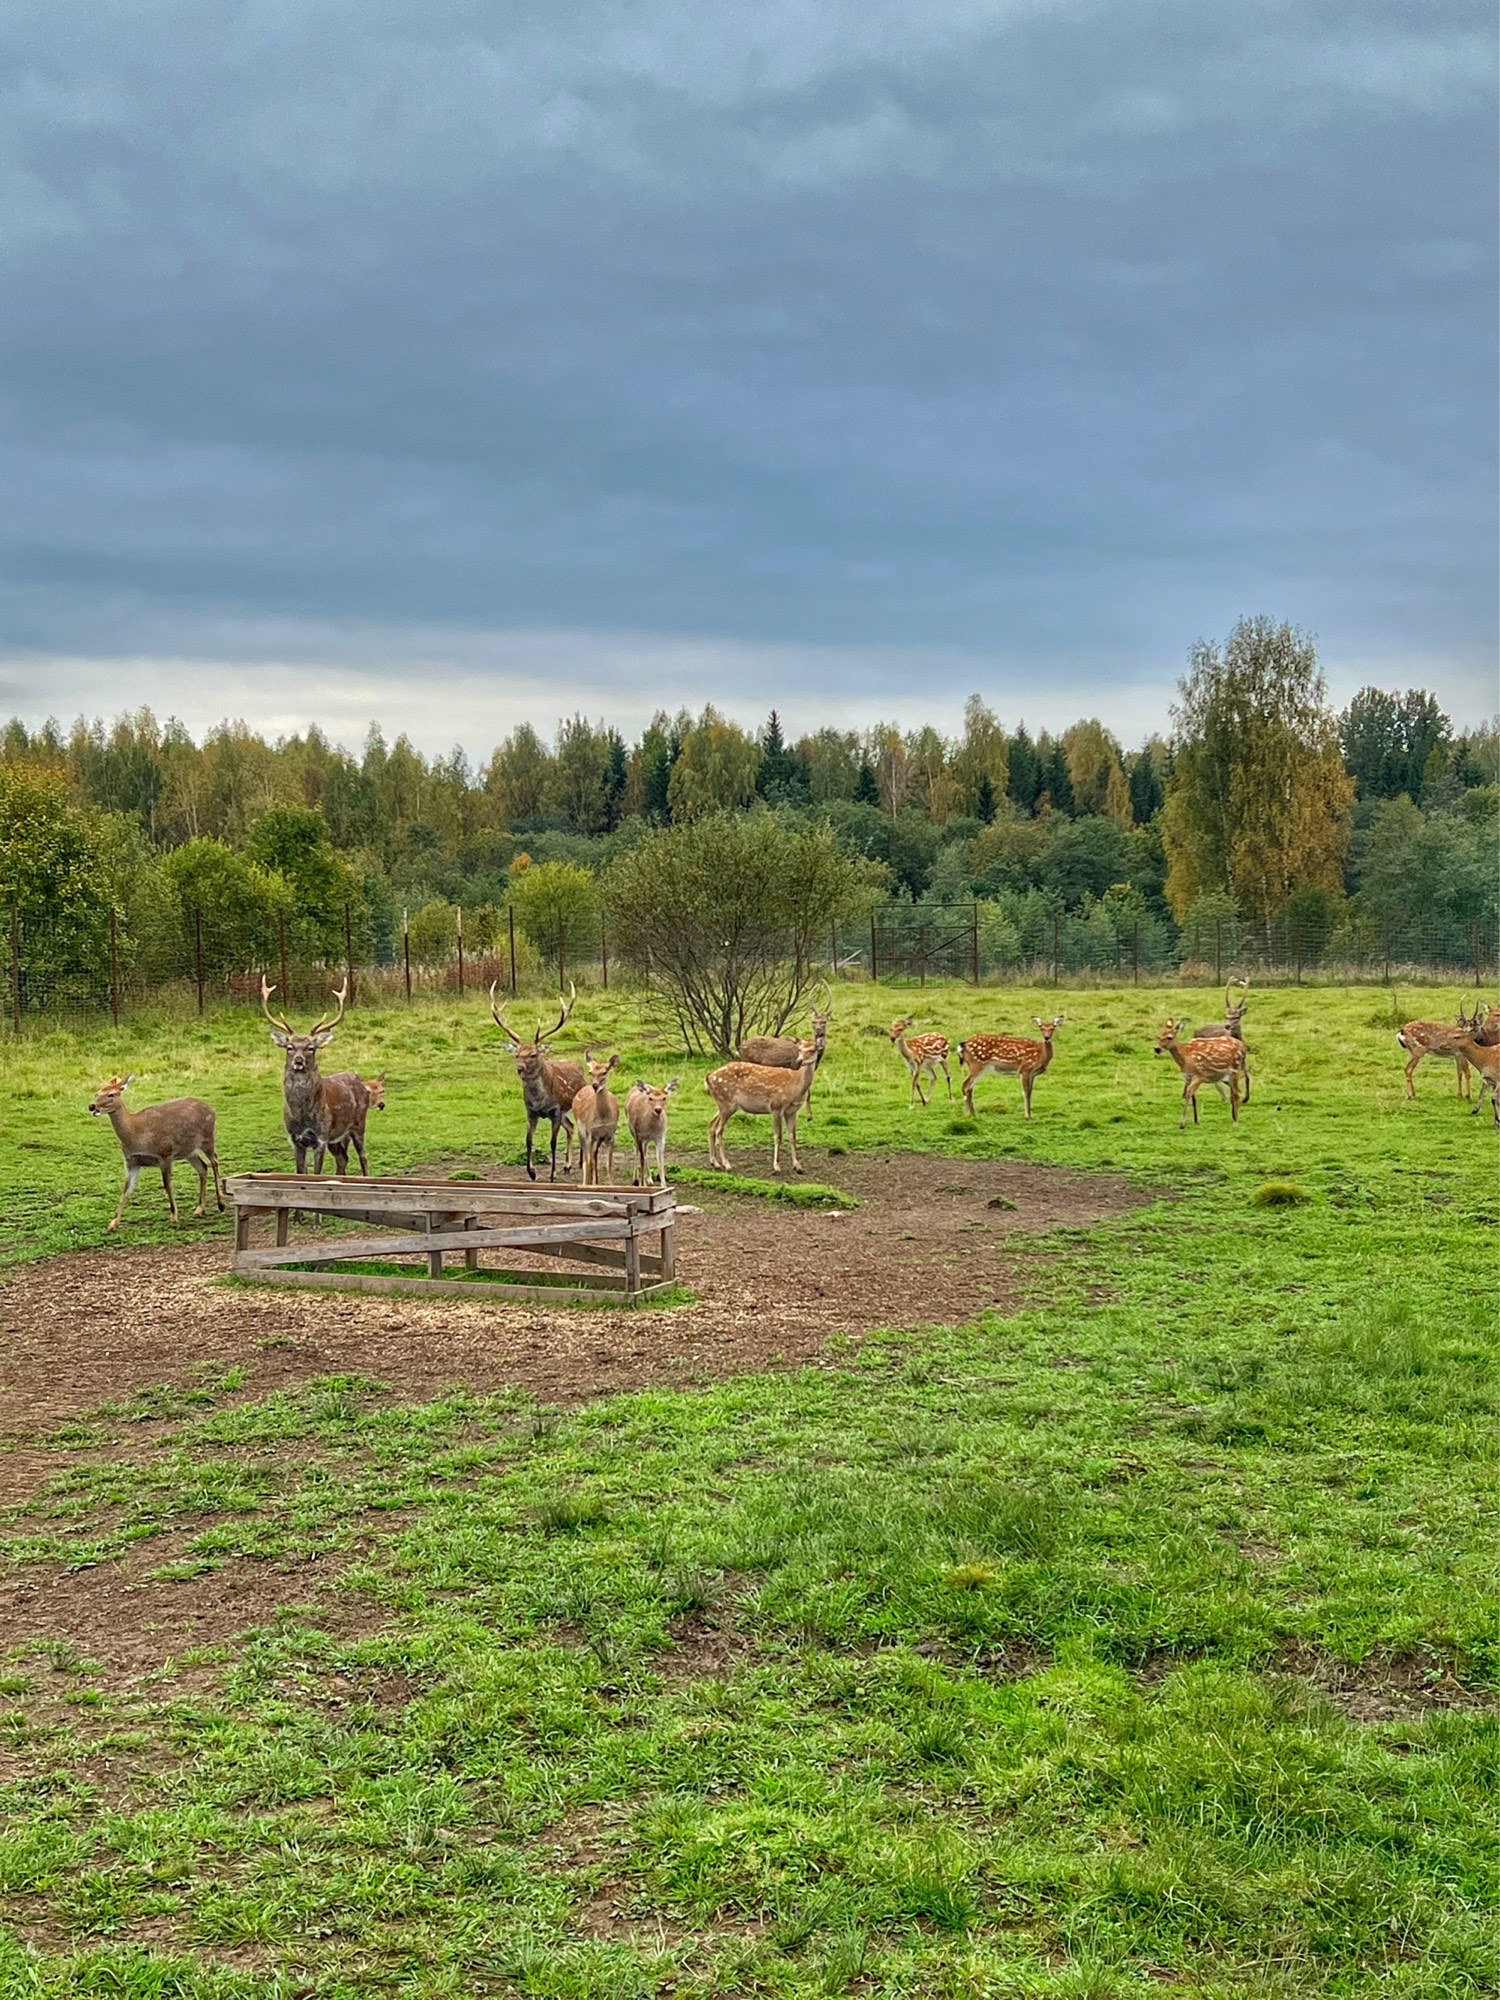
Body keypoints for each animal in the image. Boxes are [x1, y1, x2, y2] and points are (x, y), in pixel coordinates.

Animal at [90, 1080, 226, 1232]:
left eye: (111, 1094)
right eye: (97, 1093)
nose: (92, 1106)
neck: (137, 1133)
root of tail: (212, 1109)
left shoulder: (165, 1155)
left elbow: (167, 1185)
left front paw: (174, 1216)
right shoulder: (132, 1162)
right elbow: (127, 1190)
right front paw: (113, 1223)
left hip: (208, 1138)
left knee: (215, 1161)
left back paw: (221, 1204)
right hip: (189, 1151)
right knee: (203, 1167)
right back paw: (200, 1208)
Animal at [262, 980, 352, 1168]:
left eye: (311, 1048)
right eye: (289, 1047)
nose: (298, 1061)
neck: (302, 1116)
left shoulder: (321, 1137)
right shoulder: (295, 1139)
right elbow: (300, 1171)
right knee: (342, 1158)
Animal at [494, 988, 588, 1184]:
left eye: (533, 1054)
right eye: (517, 1055)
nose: (519, 1068)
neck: (541, 1101)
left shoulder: (556, 1110)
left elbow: (553, 1142)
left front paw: (551, 1175)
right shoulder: (531, 1112)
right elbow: (528, 1140)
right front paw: (532, 1172)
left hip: (575, 1105)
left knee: (579, 1128)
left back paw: (581, 1162)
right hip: (564, 1113)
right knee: (570, 1127)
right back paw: (567, 1166)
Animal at [572, 1048, 624, 1184]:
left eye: (604, 1072)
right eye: (591, 1072)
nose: (595, 1086)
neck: (603, 1118)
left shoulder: (610, 1135)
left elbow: (609, 1165)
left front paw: (611, 1186)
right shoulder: (590, 1133)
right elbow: (589, 1162)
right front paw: (590, 1185)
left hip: (599, 1138)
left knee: (594, 1154)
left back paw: (596, 1182)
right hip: (581, 1131)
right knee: (586, 1160)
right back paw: (586, 1183)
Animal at [708, 1040, 816, 1176]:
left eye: (813, 1049)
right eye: (800, 1049)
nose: (800, 1060)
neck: (796, 1088)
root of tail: (708, 1077)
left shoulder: (792, 1111)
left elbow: (793, 1137)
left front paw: (798, 1166)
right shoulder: (776, 1106)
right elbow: (778, 1136)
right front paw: (776, 1166)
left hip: (723, 1106)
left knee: (712, 1126)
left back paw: (715, 1162)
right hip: (726, 1104)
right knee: (719, 1130)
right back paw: (727, 1164)